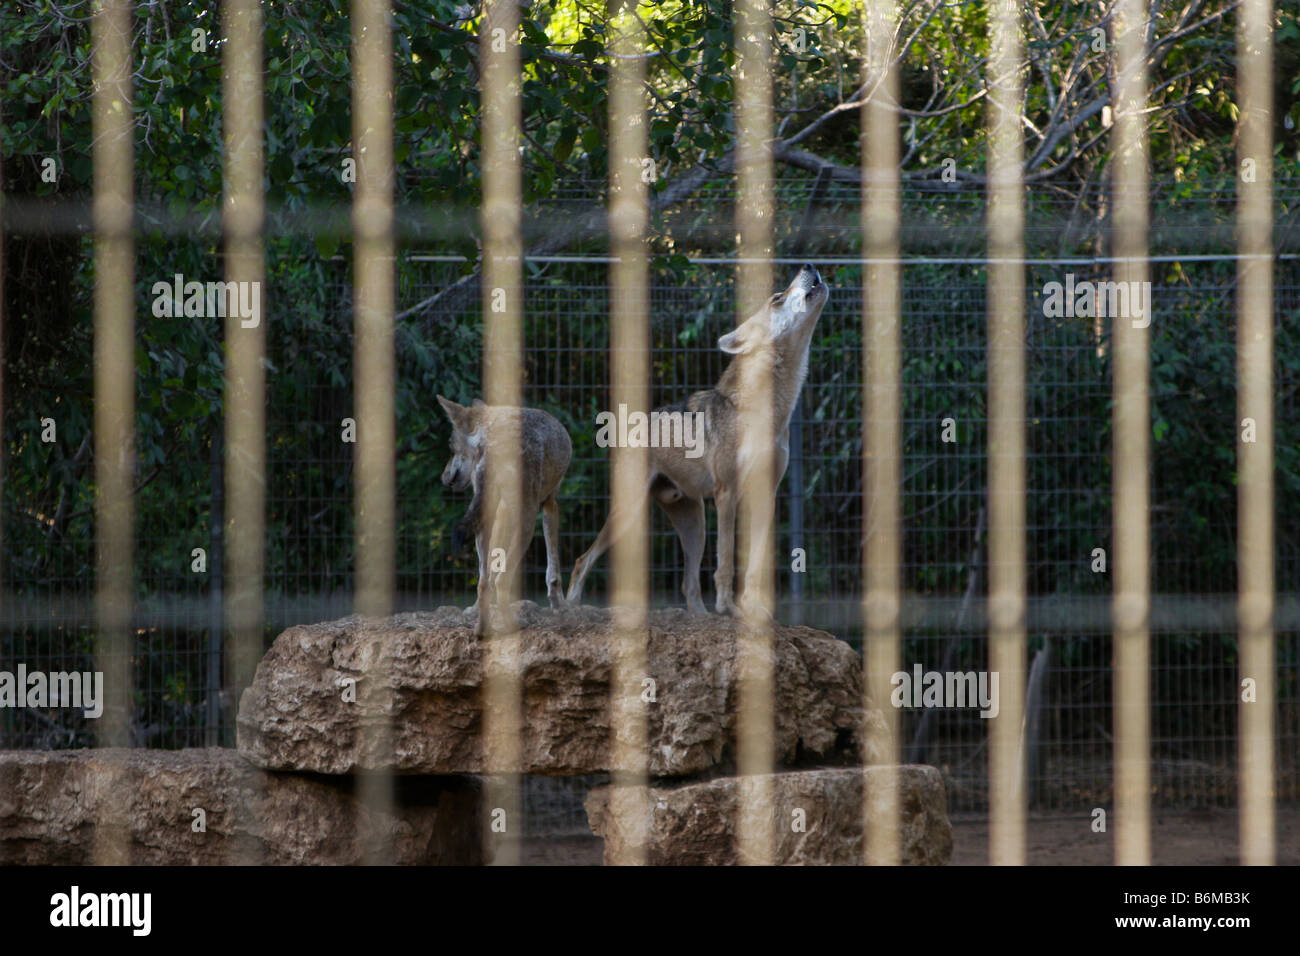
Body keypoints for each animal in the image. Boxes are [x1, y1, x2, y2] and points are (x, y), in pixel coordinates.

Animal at [438, 396, 572, 635]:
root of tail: (491, 444)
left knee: (484, 582)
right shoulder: (550, 503)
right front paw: (560, 605)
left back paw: (482, 629)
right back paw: (513, 624)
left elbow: (490, 571)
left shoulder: (501, 512)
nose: (443, 478)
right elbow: (553, 567)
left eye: (452, 448)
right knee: (501, 580)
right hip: (527, 521)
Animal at [566, 263, 829, 617]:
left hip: (695, 525)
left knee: (688, 586)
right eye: (777, 297)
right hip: (630, 514)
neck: (766, 412)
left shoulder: (766, 496)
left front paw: (753, 610)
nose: (809, 265)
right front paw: (729, 608)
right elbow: (727, 561)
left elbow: (754, 565)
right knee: (582, 560)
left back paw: (701, 617)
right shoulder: (727, 494)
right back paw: (569, 607)